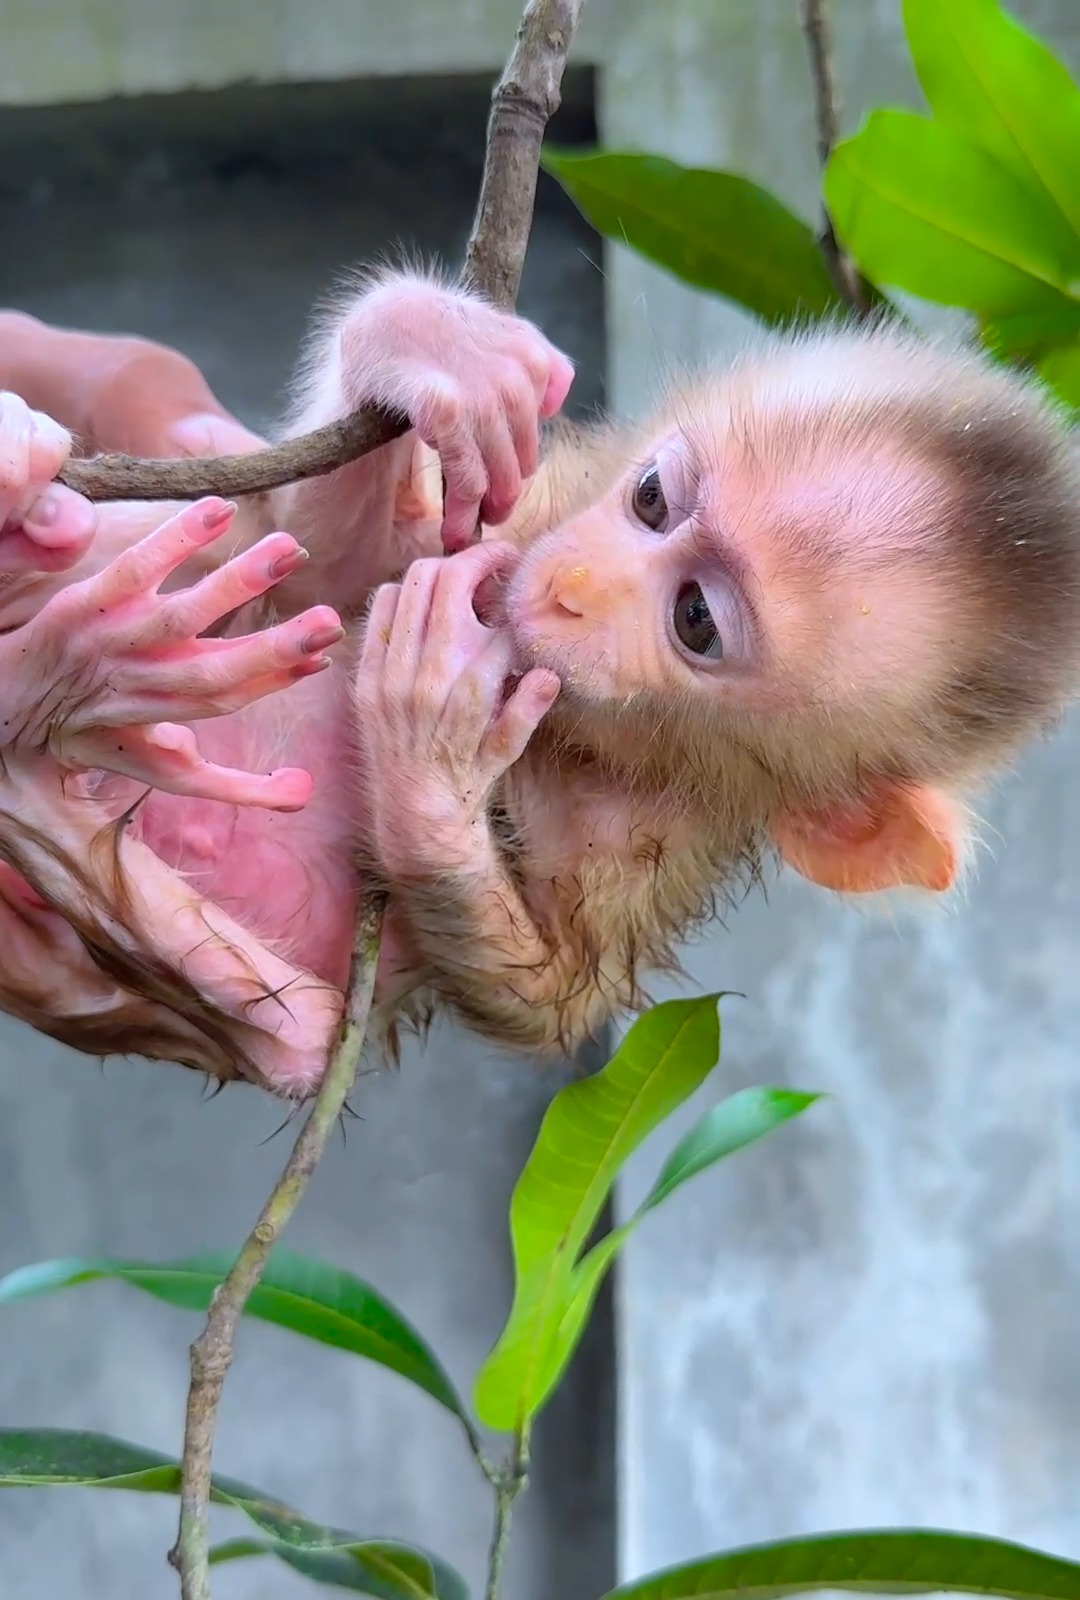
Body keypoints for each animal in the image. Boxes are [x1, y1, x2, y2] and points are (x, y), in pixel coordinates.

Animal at [0, 266, 1078, 1096]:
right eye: (651, 499)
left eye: (695, 619)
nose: (567, 590)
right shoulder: (520, 522)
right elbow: (320, 563)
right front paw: (436, 342)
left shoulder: (646, 840)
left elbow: (546, 1002)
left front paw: (429, 747)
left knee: (297, 1039)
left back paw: (58, 716)